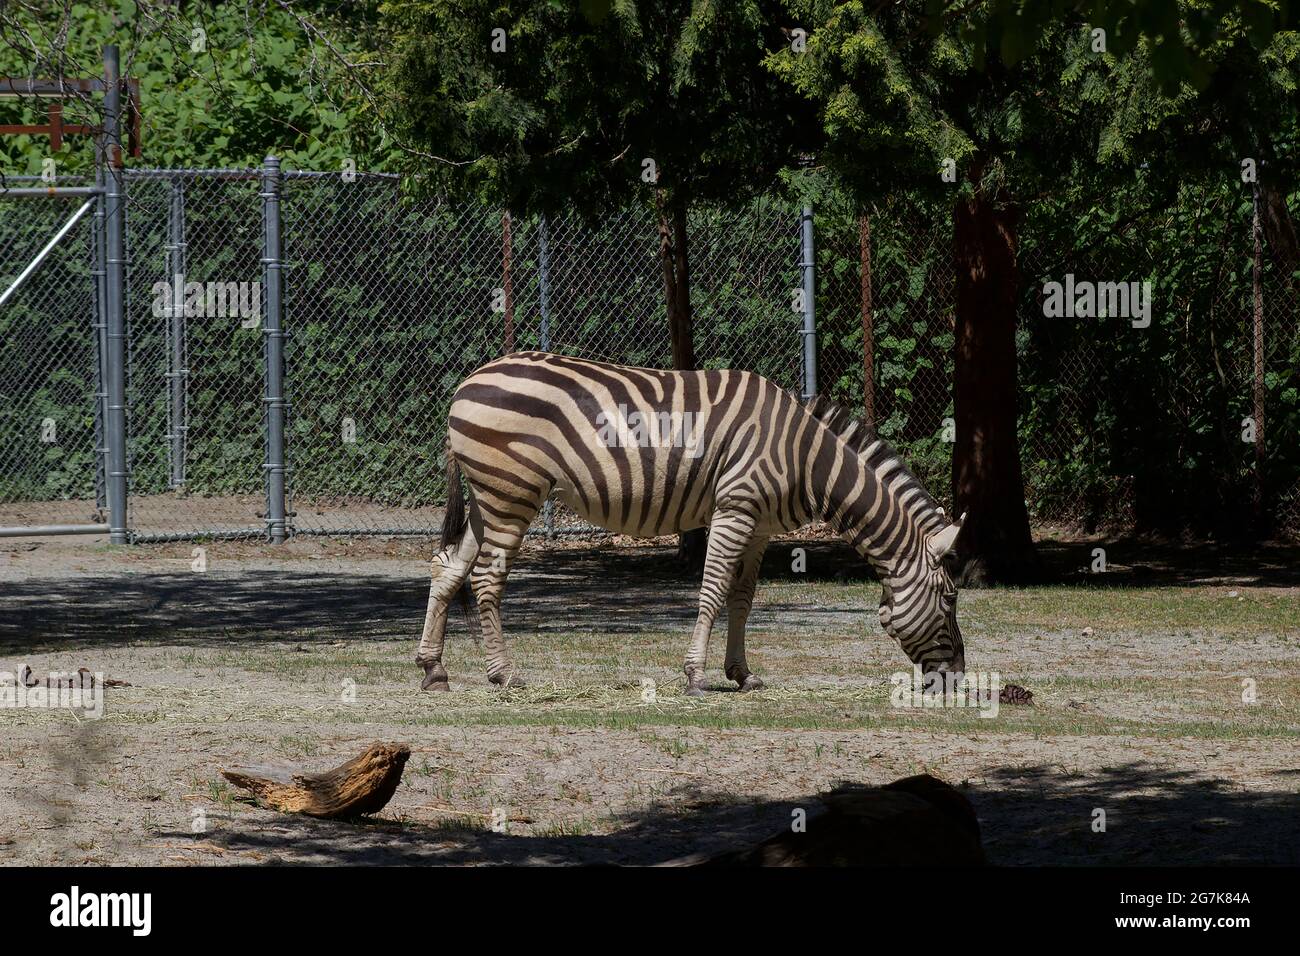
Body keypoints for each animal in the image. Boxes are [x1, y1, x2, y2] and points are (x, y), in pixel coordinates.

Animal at [415, 351, 966, 694]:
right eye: (950, 598)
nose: (959, 678)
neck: (807, 459)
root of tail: (467, 383)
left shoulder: (760, 526)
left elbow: (743, 599)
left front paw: (742, 673)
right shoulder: (735, 509)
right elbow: (713, 589)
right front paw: (697, 675)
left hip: (489, 499)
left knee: (447, 567)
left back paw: (434, 670)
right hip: (512, 493)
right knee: (486, 579)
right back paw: (504, 675)